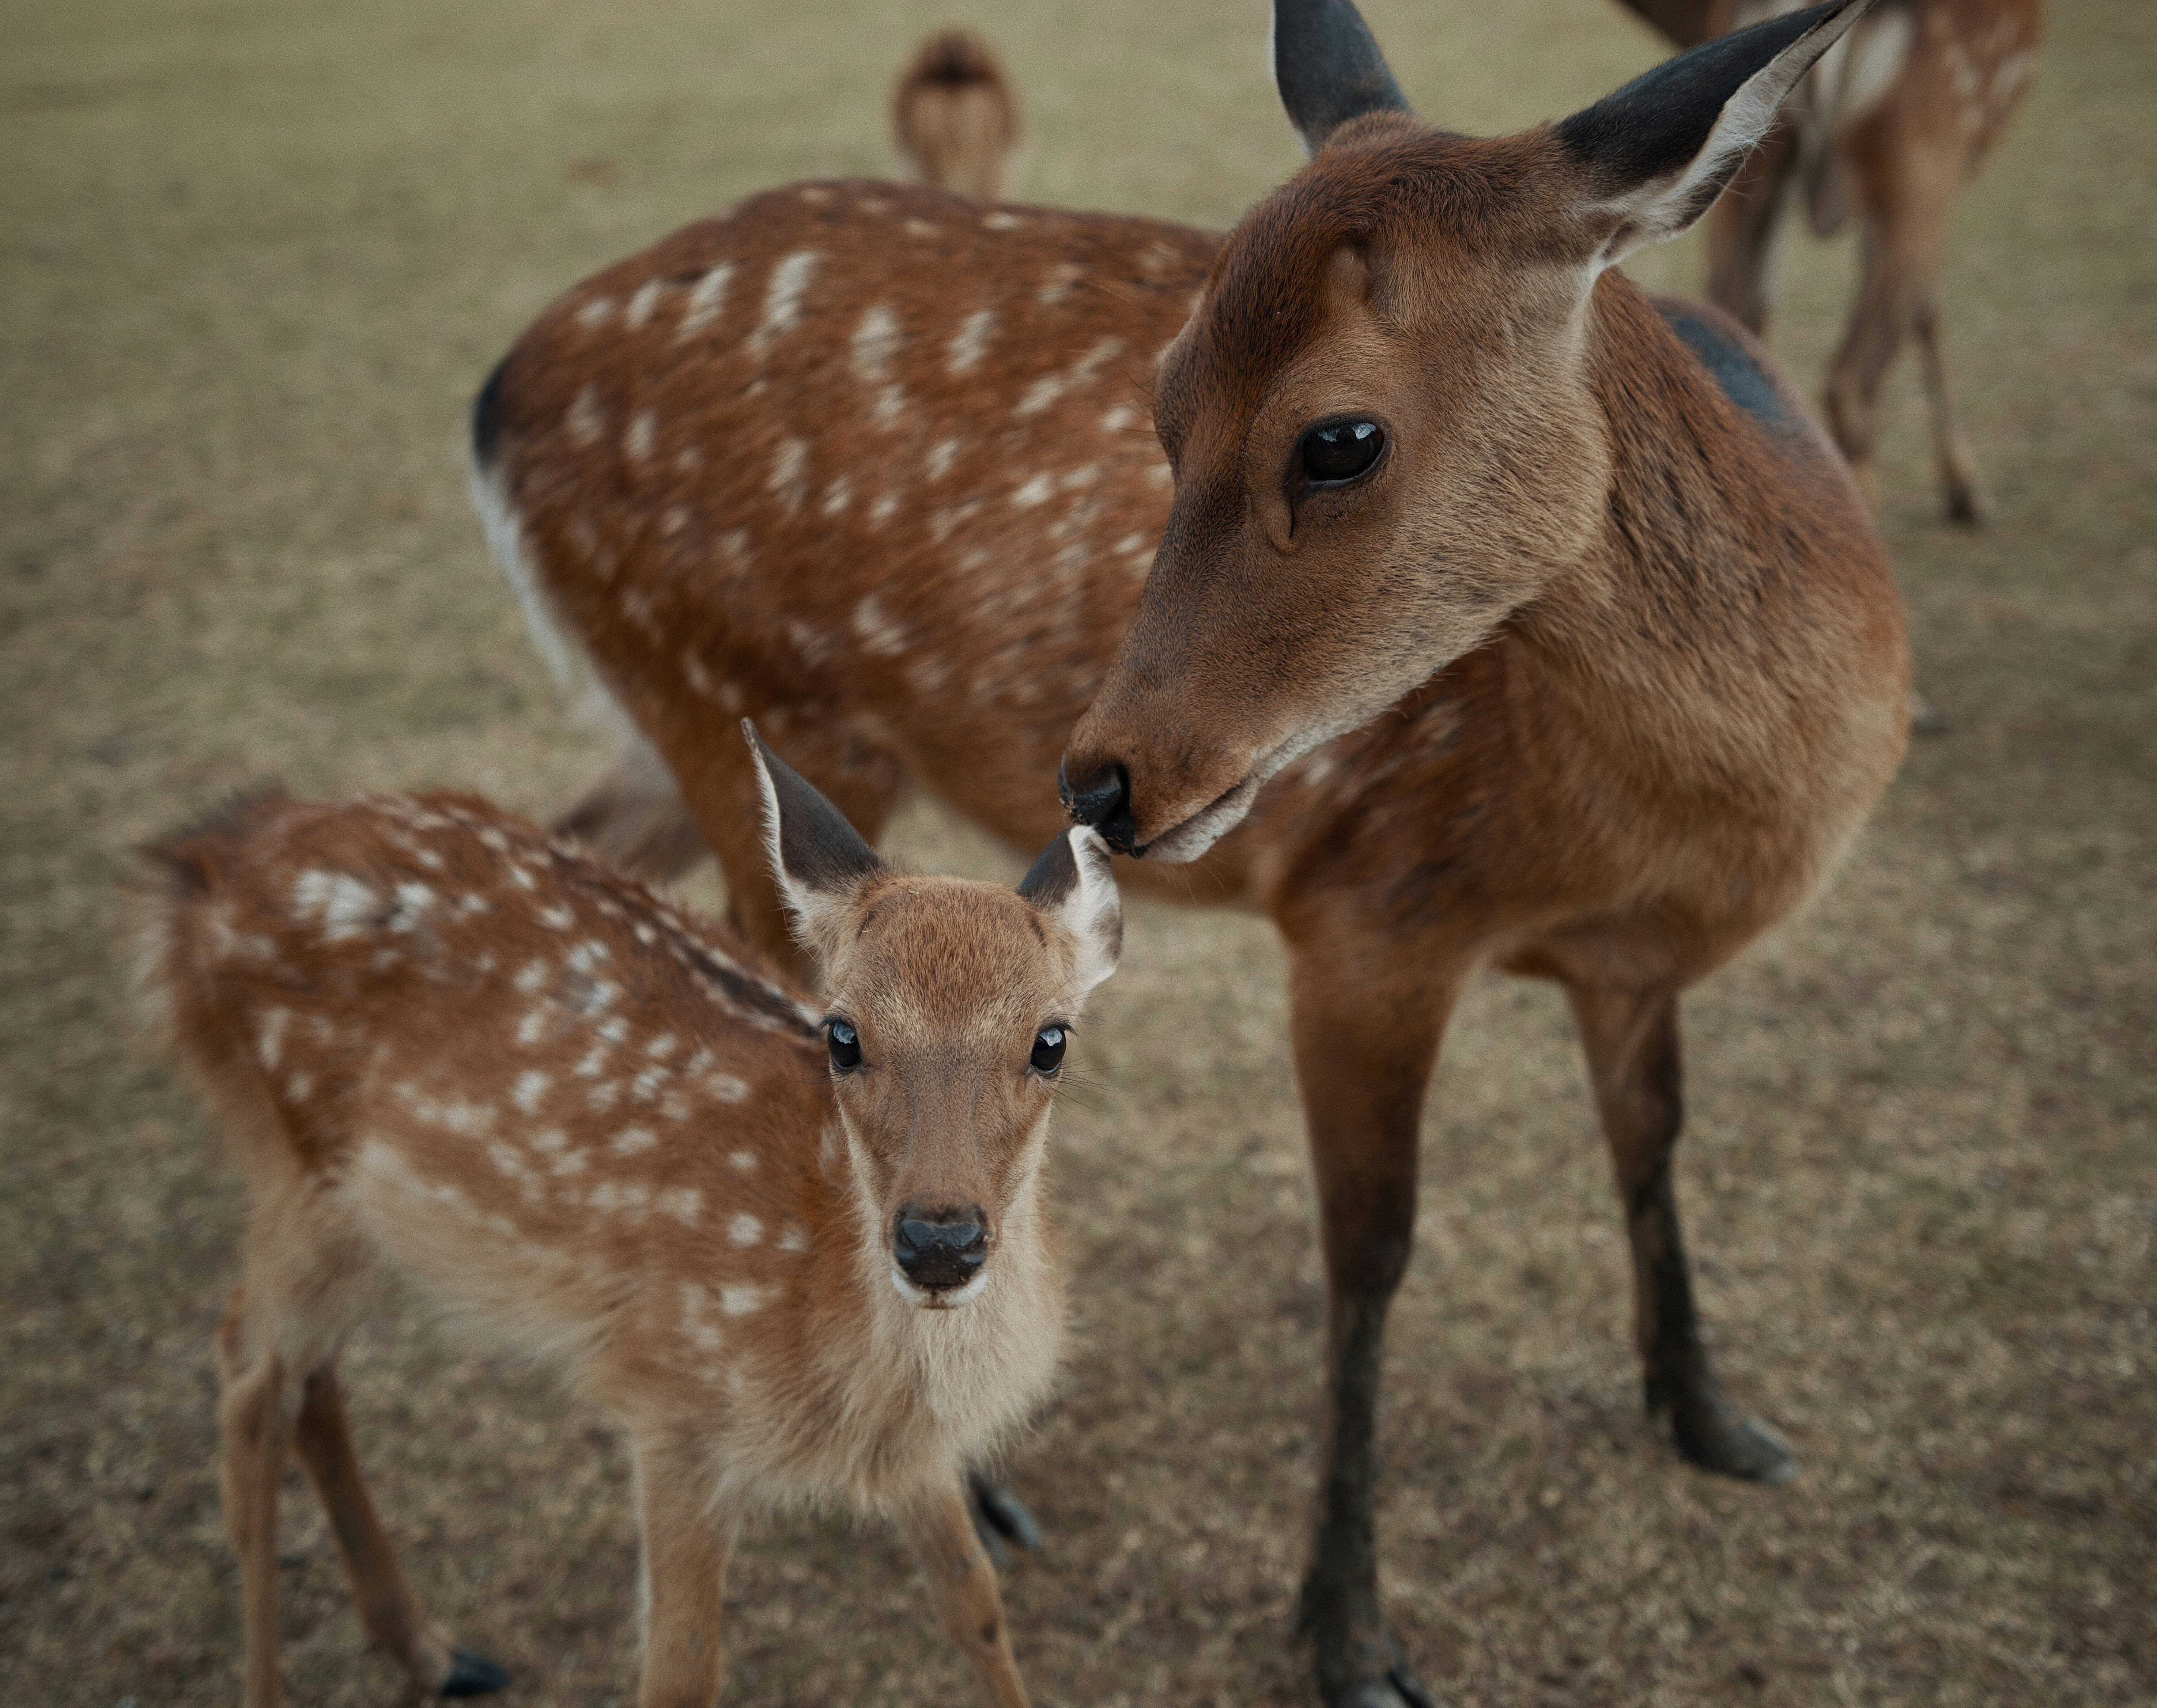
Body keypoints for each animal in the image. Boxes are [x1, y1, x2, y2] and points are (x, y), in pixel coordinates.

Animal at [133, 725, 1122, 1708]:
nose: (937, 1241)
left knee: (305, 1374)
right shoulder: (675, 1404)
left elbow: (974, 1605)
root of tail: (206, 859)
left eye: (1050, 1039)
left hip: (354, 1215)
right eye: (841, 1034)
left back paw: (434, 1653)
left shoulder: (911, 1454)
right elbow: (680, 1671)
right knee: (249, 1375)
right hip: (299, 1167)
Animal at [1613, 0, 2041, 522]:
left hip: (1760, 155)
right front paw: (1967, 489)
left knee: (1734, 312)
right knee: (1854, 373)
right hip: (1925, 150)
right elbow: (1928, 303)